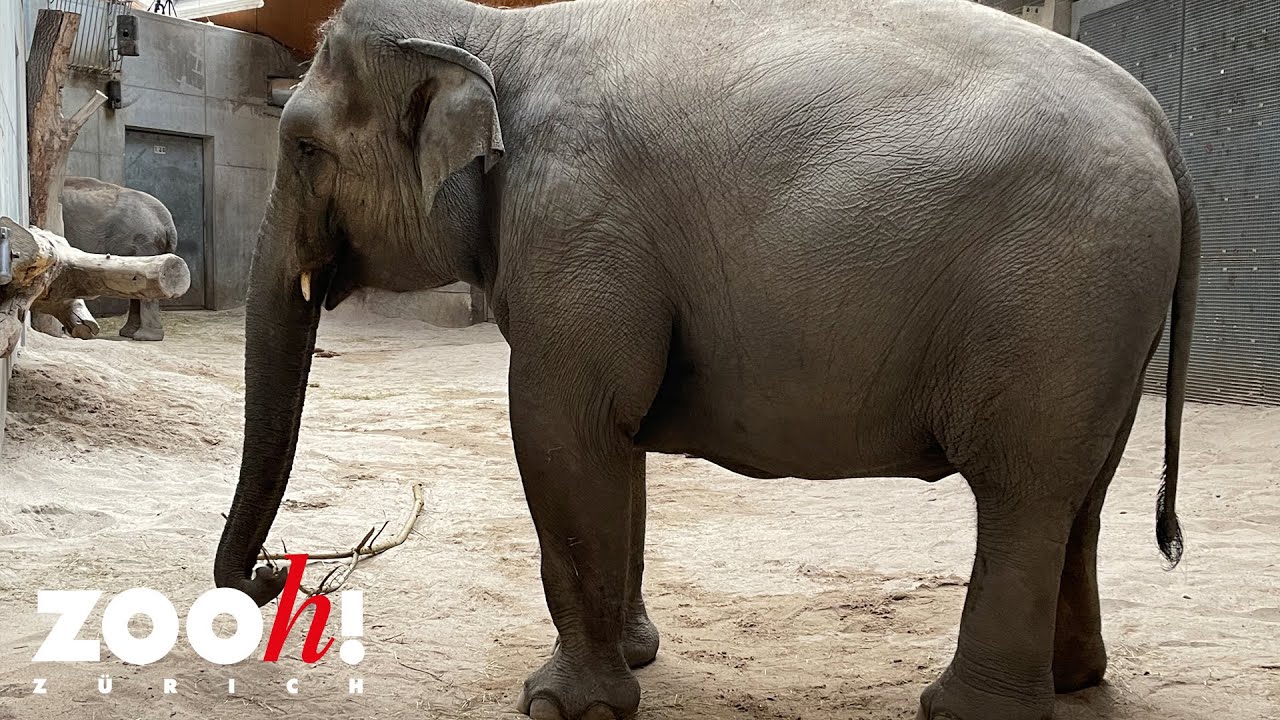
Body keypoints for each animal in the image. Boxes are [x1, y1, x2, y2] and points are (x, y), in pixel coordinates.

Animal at [213, 1, 1200, 718]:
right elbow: (615, 445)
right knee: (1080, 493)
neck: (492, 31)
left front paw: (564, 707)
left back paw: (965, 712)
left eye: (303, 146)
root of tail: (1157, 120)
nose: (273, 574)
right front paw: (635, 657)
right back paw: (1075, 681)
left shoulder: (577, 225)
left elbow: (560, 429)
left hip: (1056, 294)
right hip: (1104, 319)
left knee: (1022, 490)